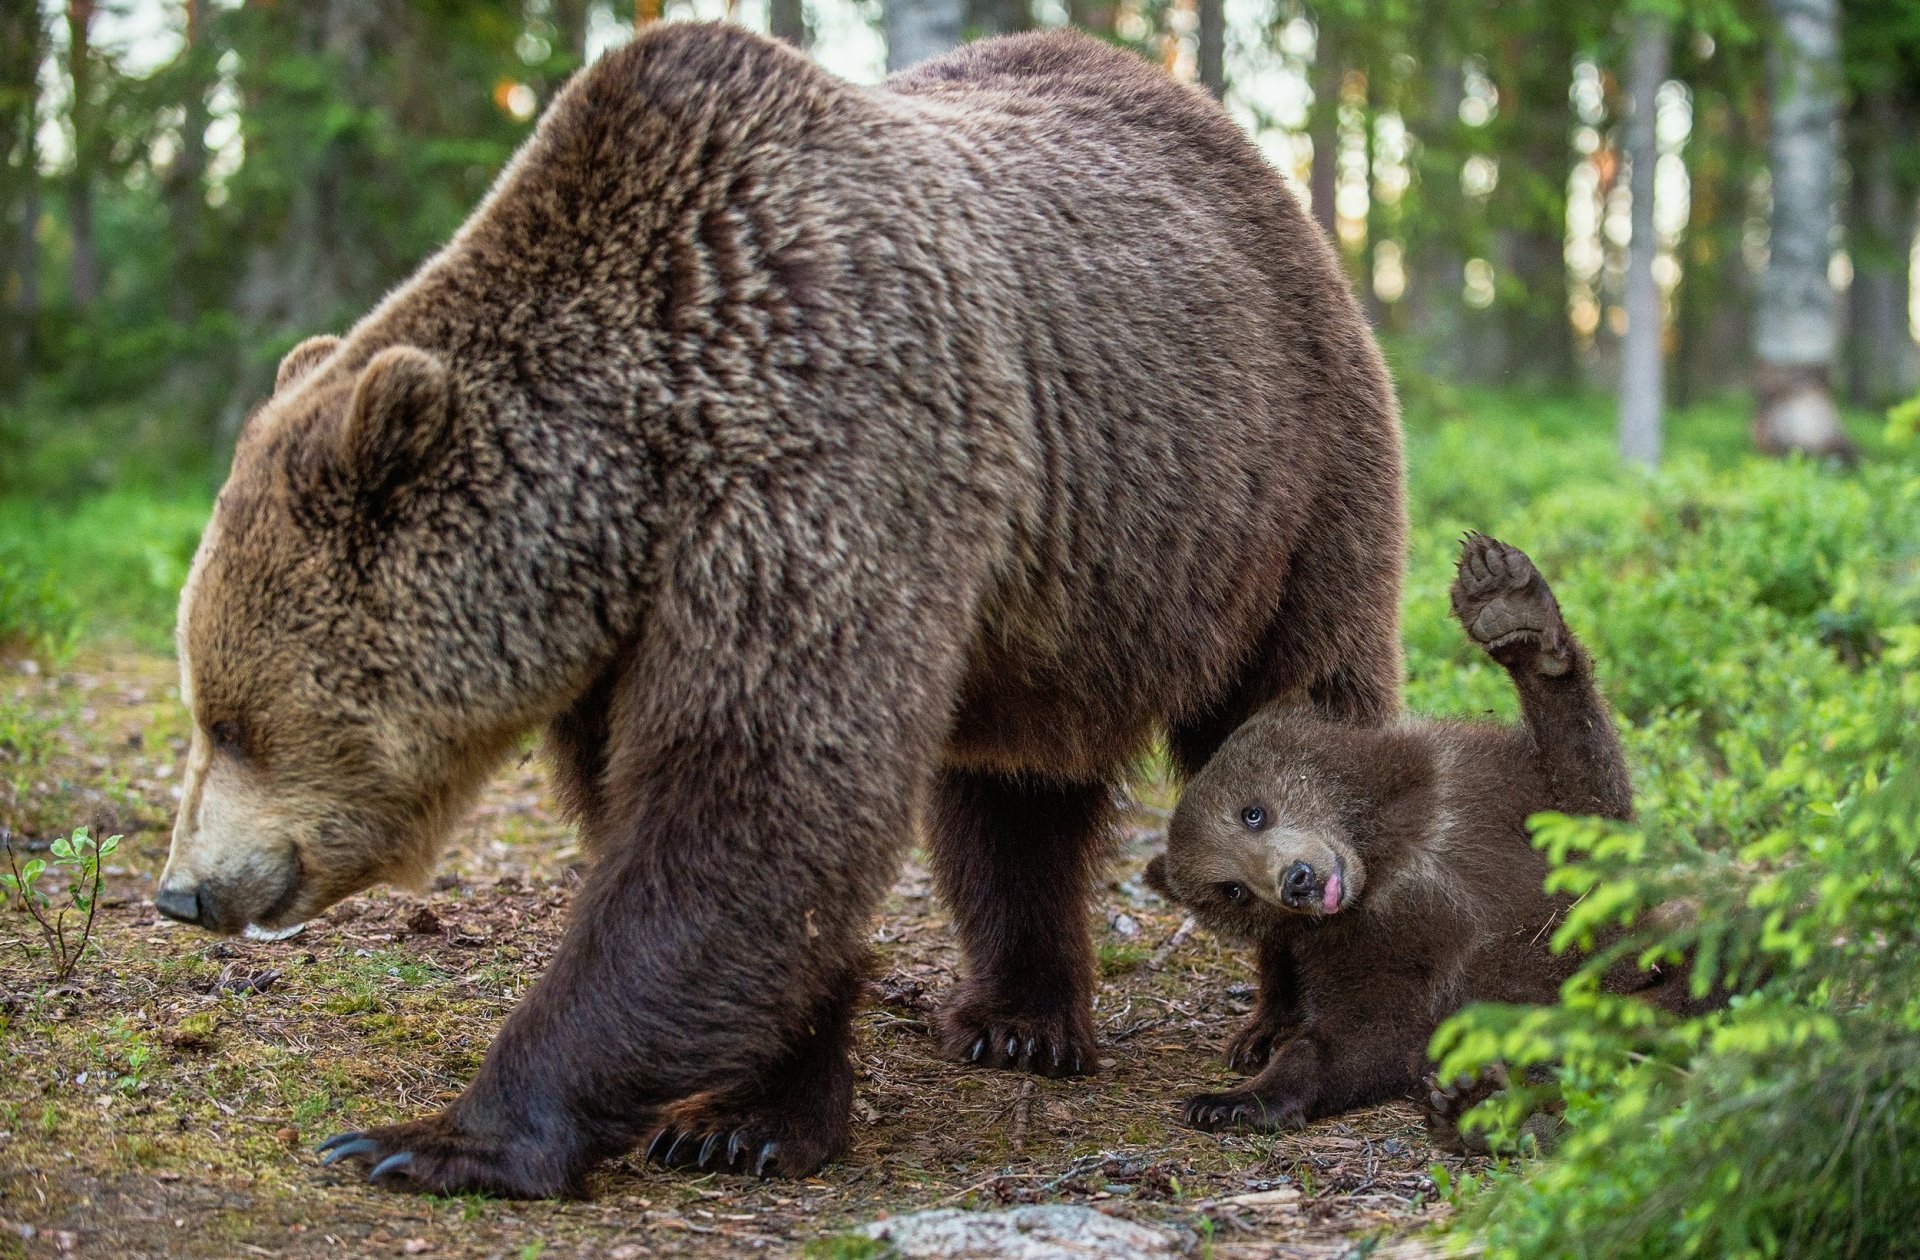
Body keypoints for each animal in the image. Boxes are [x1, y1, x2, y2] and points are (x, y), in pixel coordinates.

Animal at [155, 24, 1406, 1197]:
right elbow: (701, 826)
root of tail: (1239, 145)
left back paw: (1281, 1017)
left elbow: (754, 802)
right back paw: (1019, 1018)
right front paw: (750, 1109)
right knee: (1008, 794)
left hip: (1278, 489)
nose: (182, 893)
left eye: (232, 720)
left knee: (1292, 719)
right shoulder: (638, 626)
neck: (641, 475)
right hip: (1056, 601)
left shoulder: (814, 466)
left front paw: (441, 1138)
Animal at [1147, 534, 1703, 1136]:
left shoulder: (1477, 790)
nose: (1297, 881)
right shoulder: (1361, 939)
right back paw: (1481, 1103)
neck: (1384, 846)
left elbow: (1588, 797)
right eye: (1232, 890)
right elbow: (1362, 1032)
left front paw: (1511, 608)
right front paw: (1231, 1100)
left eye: (1253, 812)